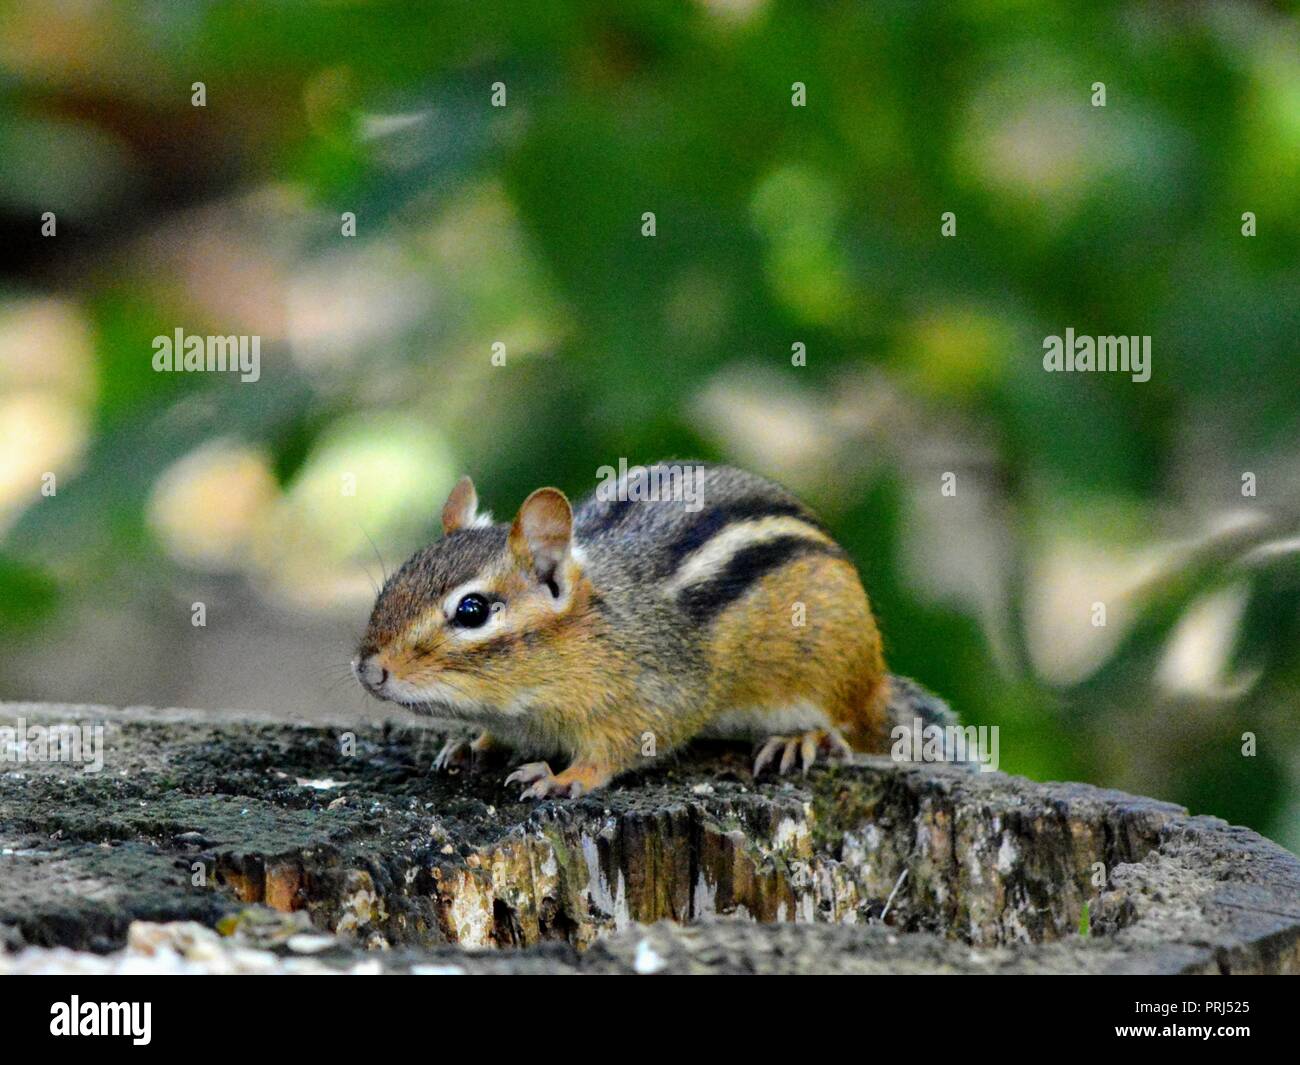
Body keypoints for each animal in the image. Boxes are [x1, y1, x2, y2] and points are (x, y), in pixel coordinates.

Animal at [353, 462, 954, 799]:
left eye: (472, 610)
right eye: (398, 578)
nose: (367, 668)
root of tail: (876, 681)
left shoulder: (657, 697)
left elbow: (620, 749)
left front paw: (564, 777)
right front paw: (469, 744)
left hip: (831, 675)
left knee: (843, 725)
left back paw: (800, 739)